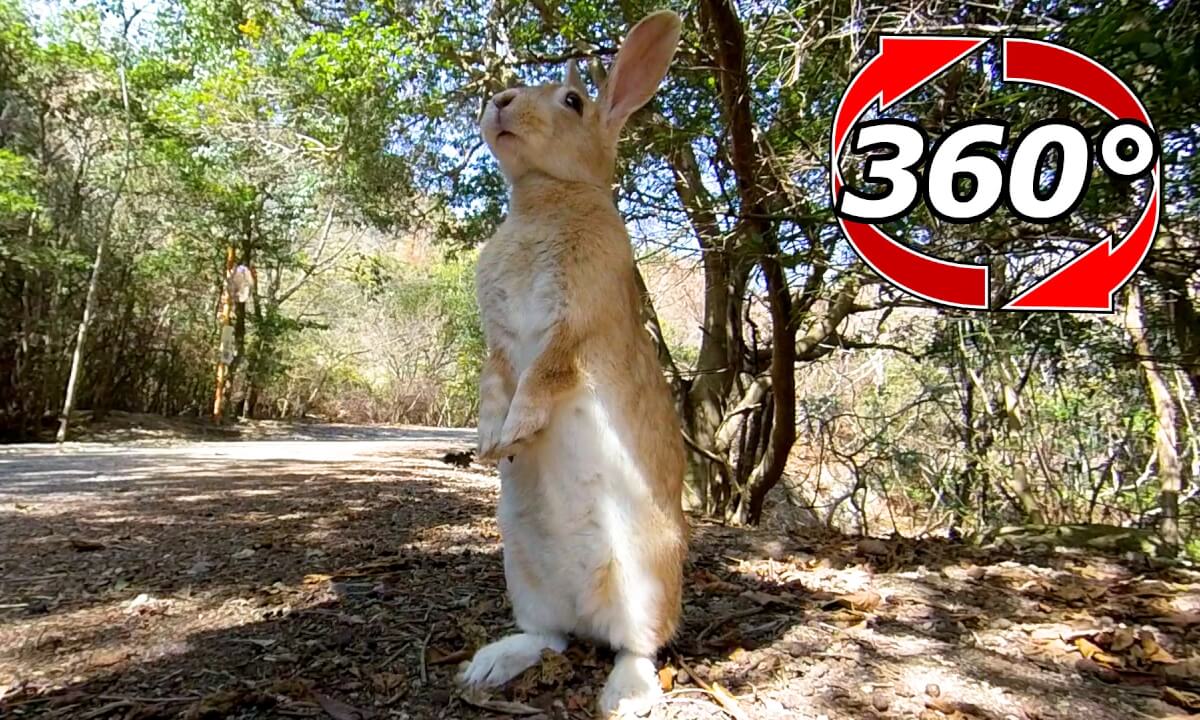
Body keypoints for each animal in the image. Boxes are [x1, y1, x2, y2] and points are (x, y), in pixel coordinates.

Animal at [458, 9, 687, 718]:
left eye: (573, 102)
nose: (500, 102)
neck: (546, 195)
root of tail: (591, 618)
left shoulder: (575, 328)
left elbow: (542, 376)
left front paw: (517, 433)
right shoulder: (500, 340)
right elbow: (494, 379)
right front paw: (490, 443)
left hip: (646, 574)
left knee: (637, 646)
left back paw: (625, 695)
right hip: (521, 569)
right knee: (548, 637)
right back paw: (489, 665)